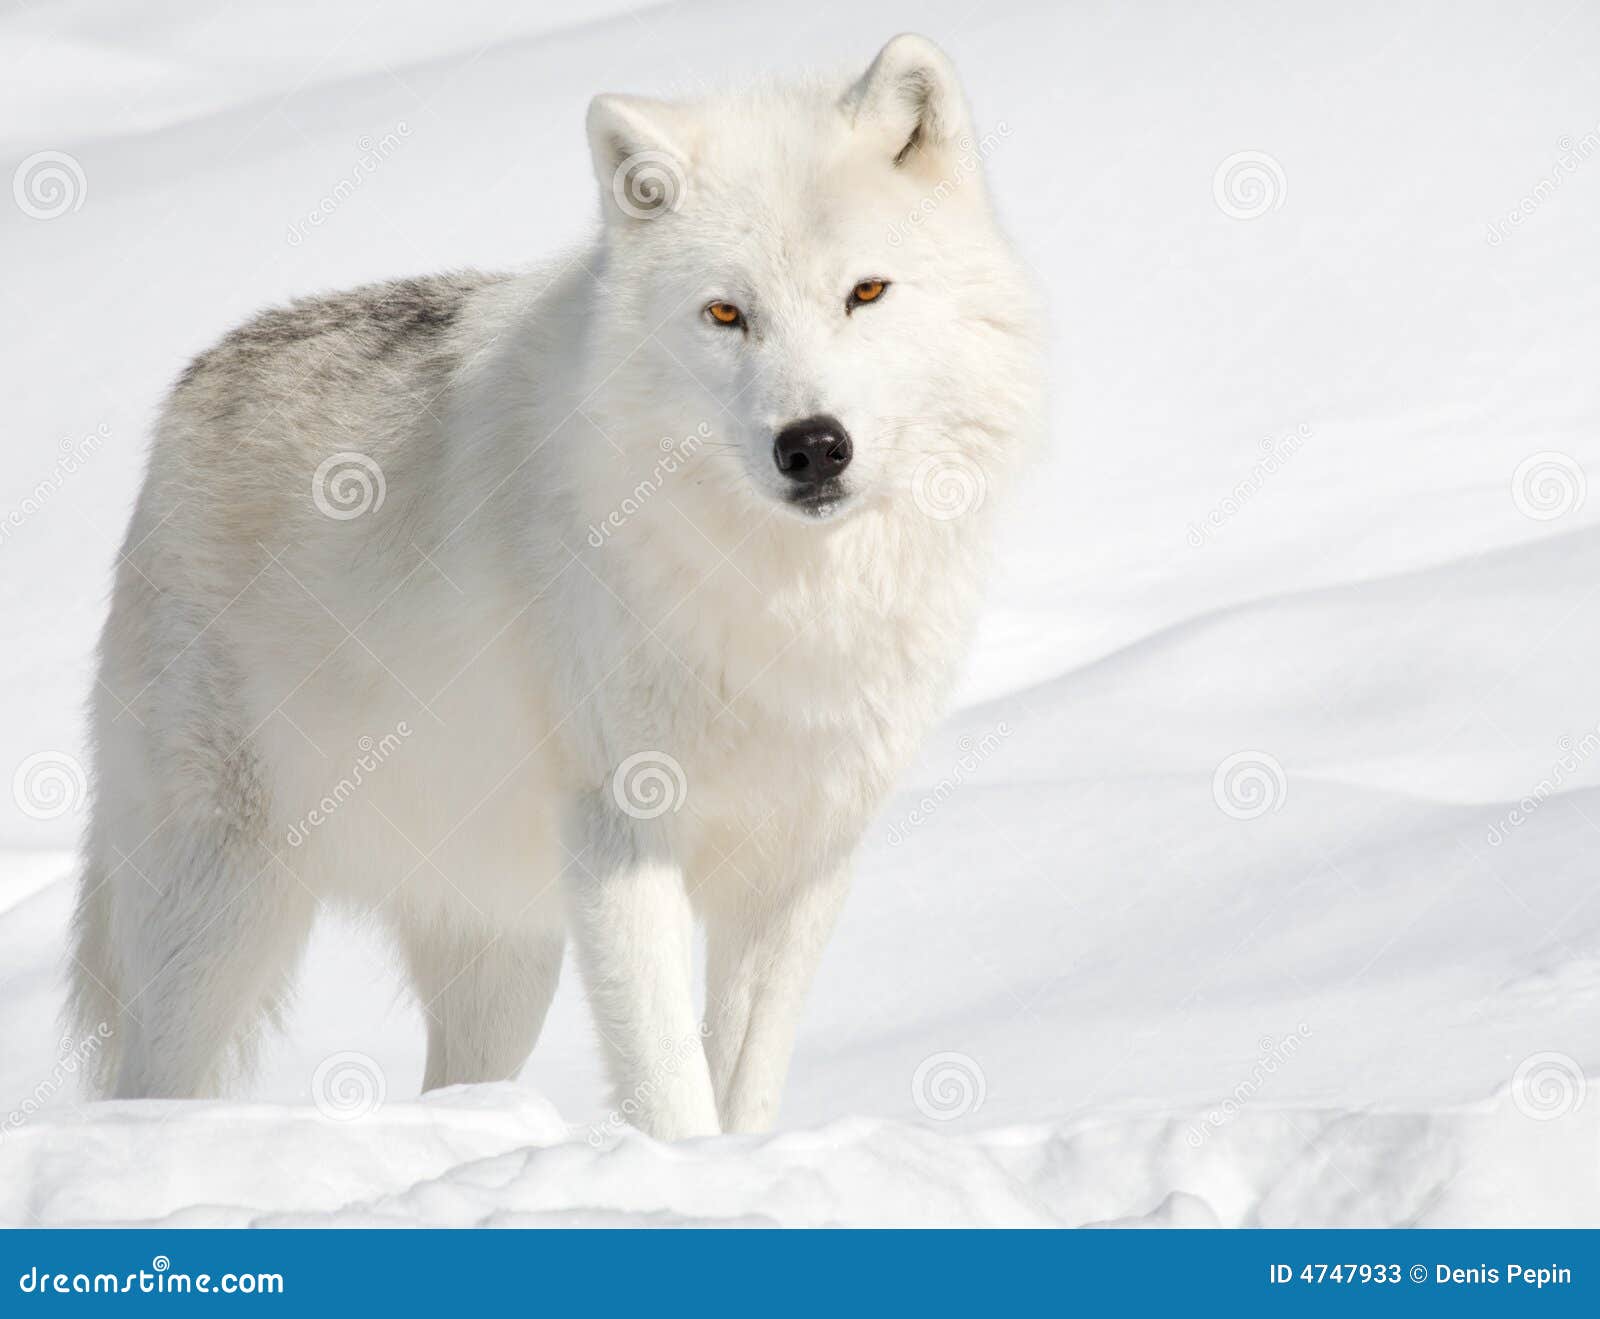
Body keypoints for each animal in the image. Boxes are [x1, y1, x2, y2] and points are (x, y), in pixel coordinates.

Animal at [71, 33, 1042, 1138]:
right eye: (726, 314)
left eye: (866, 293)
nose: (812, 445)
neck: (783, 597)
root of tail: (193, 380)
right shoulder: (622, 831)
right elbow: (670, 1080)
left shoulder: (801, 862)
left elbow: (745, 1082)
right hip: (223, 922)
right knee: (144, 1085)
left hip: (502, 954)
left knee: (454, 1083)